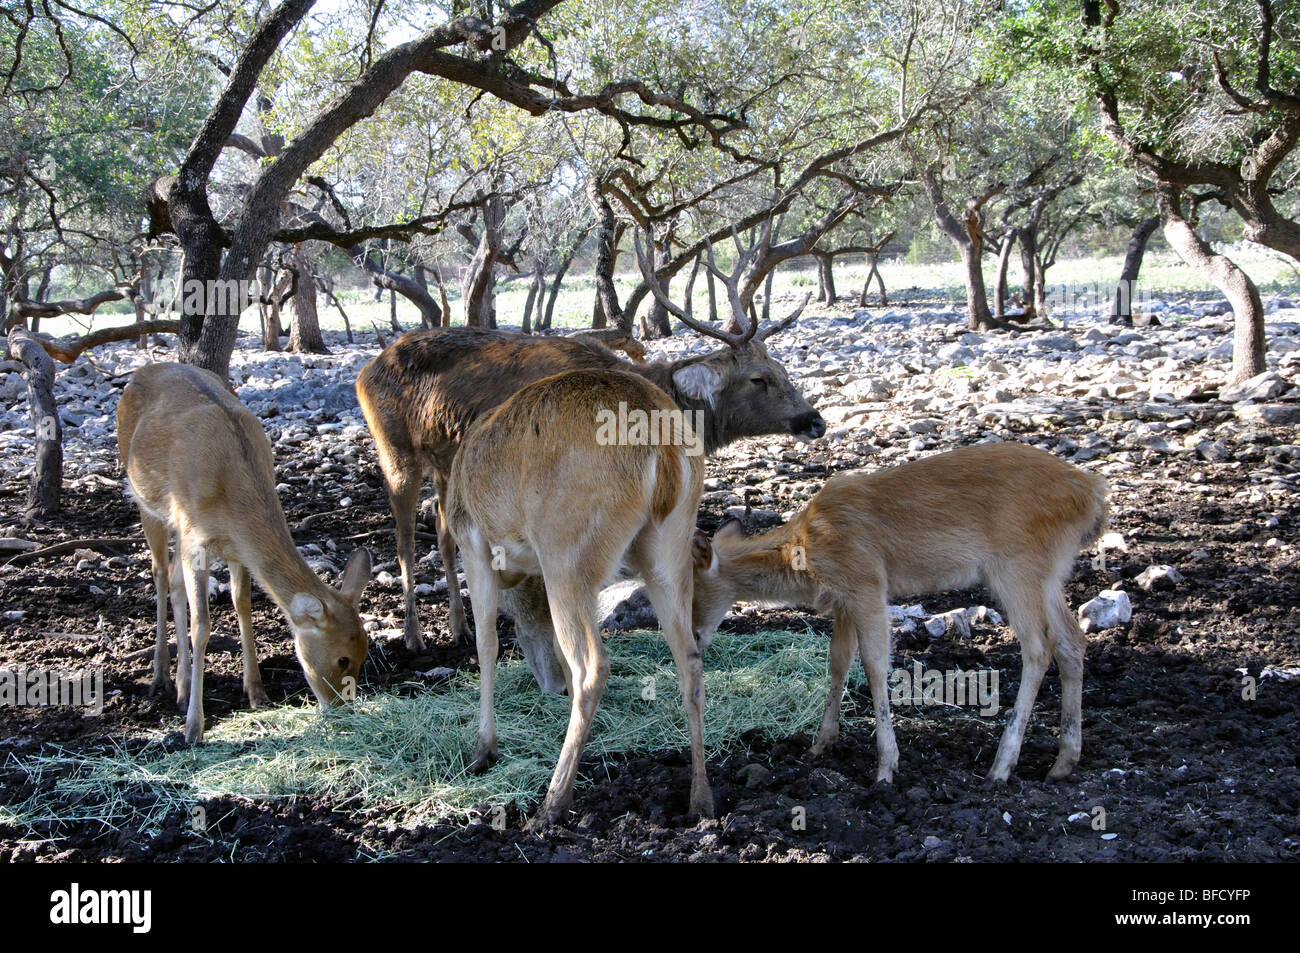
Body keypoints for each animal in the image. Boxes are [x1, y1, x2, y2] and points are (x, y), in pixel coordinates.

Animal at [117, 362, 371, 744]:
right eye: (342, 659)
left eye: (365, 651)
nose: (342, 709)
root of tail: (141, 371)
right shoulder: (196, 539)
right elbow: (202, 625)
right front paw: (194, 727)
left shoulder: (236, 548)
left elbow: (243, 604)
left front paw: (256, 692)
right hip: (146, 500)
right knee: (160, 574)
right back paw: (160, 677)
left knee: (174, 581)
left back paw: (181, 685)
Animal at [355, 227, 823, 693]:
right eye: (758, 379)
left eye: (784, 370)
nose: (815, 420)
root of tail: (366, 369)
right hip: (394, 450)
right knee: (404, 538)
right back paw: (414, 636)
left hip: (445, 464)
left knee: (441, 529)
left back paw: (459, 627)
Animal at [447, 367, 711, 827]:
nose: (547, 686)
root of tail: (663, 444)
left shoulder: (474, 543)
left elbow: (486, 644)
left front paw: (484, 750)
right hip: (668, 547)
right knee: (690, 662)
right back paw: (700, 800)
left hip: (567, 552)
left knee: (593, 664)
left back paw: (553, 802)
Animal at [690, 442, 1108, 783]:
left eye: (689, 592)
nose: (693, 636)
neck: (805, 551)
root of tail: (1092, 492)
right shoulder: (845, 600)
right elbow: (838, 661)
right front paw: (821, 743)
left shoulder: (867, 583)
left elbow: (875, 666)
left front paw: (886, 767)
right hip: (1050, 572)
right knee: (1073, 640)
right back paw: (1063, 762)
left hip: (1017, 566)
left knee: (1039, 646)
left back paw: (1001, 767)